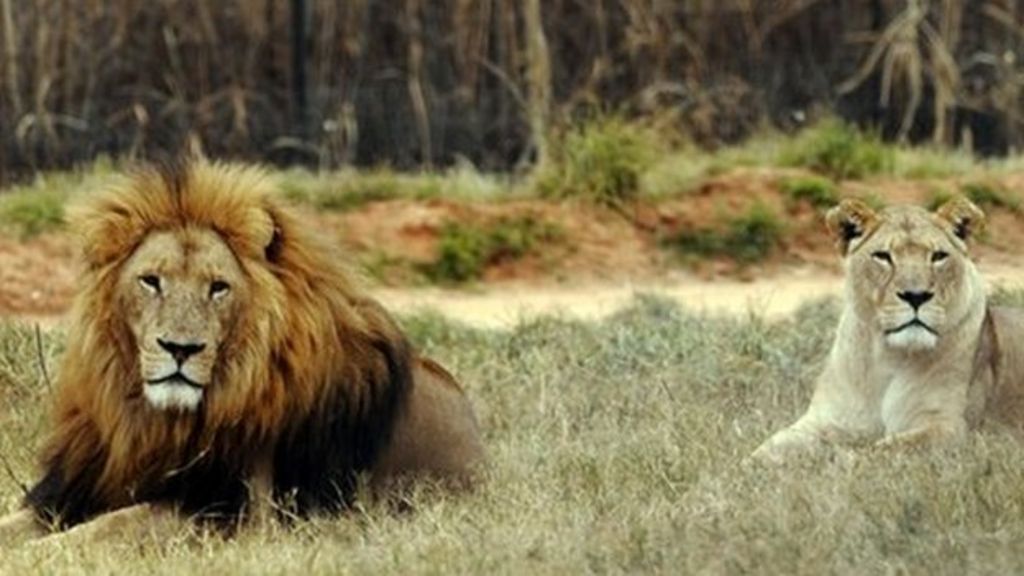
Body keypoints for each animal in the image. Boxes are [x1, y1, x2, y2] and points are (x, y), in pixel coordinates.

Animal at [0, 160, 485, 546]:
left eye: (218, 287)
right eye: (151, 281)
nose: (180, 349)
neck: (153, 421)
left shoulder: (235, 512)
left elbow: (108, 528)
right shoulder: (71, 490)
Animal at [752, 196, 1024, 463]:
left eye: (938, 256)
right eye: (883, 256)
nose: (916, 296)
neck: (889, 356)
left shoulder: (950, 429)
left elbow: (879, 451)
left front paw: (839, 457)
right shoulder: (822, 418)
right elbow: (772, 446)